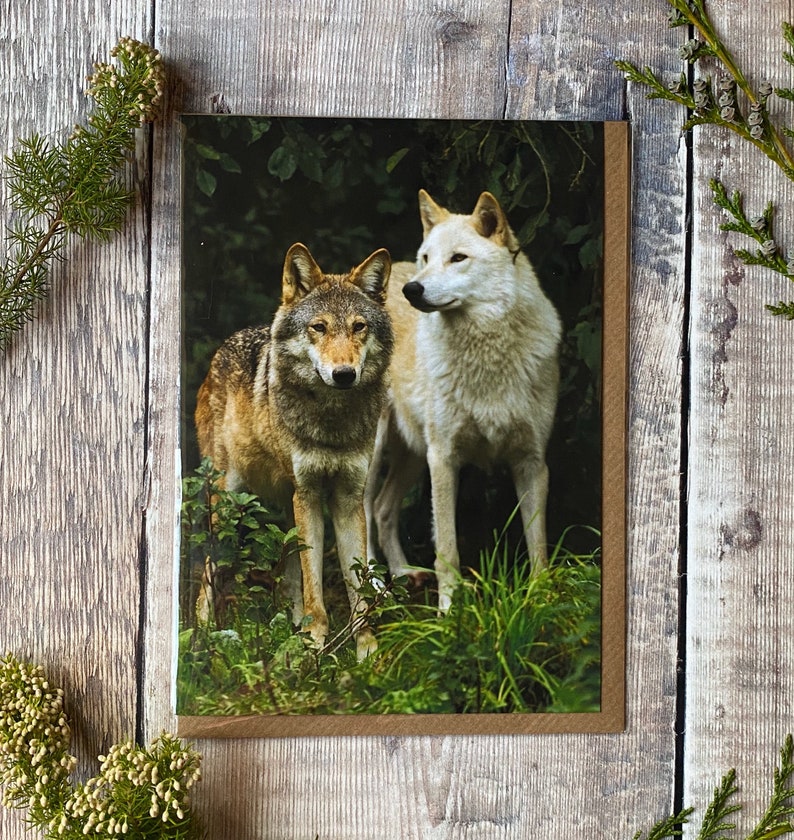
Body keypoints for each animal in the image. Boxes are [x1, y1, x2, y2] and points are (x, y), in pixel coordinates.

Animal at [195, 242, 394, 659]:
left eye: (359, 326)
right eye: (318, 327)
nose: (344, 374)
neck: (333, 423)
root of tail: (222, 348)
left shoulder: (348, 497)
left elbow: (357, 586)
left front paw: (365, 649)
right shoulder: (310, 493)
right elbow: (315, 583)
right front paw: (316, 642)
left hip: (285, 510)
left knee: (288, 575)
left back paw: (289, 625)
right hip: (228, 505)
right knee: (206, 574)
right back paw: (201, 641)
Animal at [365, 190, 562, 610]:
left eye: (458, 258)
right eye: (426, 258)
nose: (412, 291)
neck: (485, 357)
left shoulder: (531, 463)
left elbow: (538, 548)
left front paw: (539, 602)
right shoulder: (444, 459)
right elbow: (448, 551)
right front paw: (448, 613)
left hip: (412, 455)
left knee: (382, 508)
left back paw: (403, 574)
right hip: (374, 455)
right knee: (361, 513)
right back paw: (370, 585)